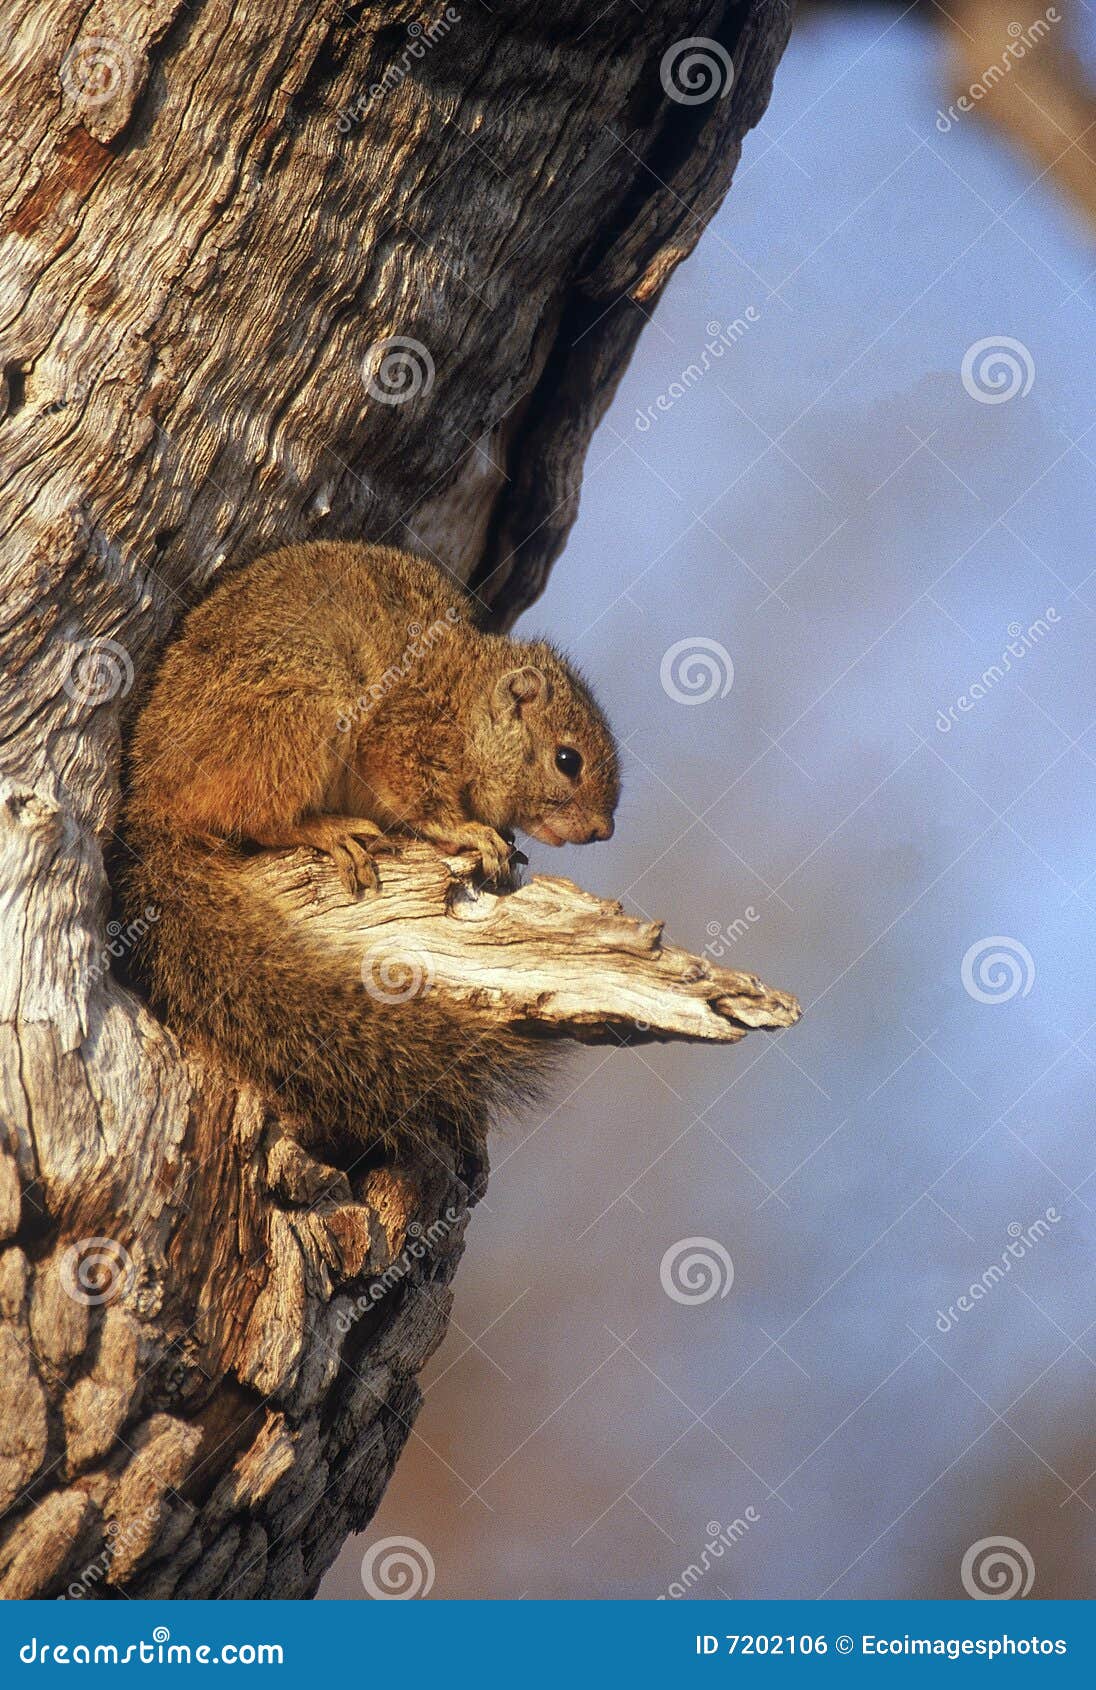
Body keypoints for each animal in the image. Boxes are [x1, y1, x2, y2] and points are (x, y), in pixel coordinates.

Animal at [122, 540, 620, 1155]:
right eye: (567, 760)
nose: (604, 829)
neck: (463, 698)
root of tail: (154, 797)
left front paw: (504, 840)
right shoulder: (403, 735)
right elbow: (420, 798)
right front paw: (471, 832)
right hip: (299, 712)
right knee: (262, 817)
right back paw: (327, 831)